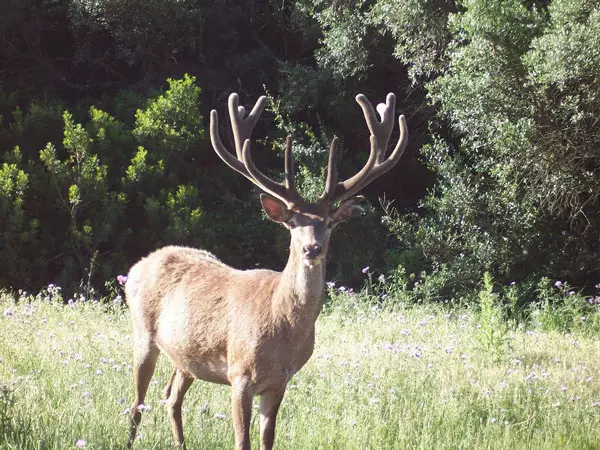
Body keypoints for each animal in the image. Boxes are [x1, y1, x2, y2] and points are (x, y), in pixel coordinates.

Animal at [125, 91, 410, 450]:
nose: (312, 249)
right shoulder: (239, 373)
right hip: (142, 334)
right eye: (292, 222)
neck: (280, 324)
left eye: (329, 222)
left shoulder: (279, 382)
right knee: (136, 403)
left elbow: (267, 440)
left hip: (186, 357)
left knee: (171, 398)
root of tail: (138, 265)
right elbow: (243, 441)